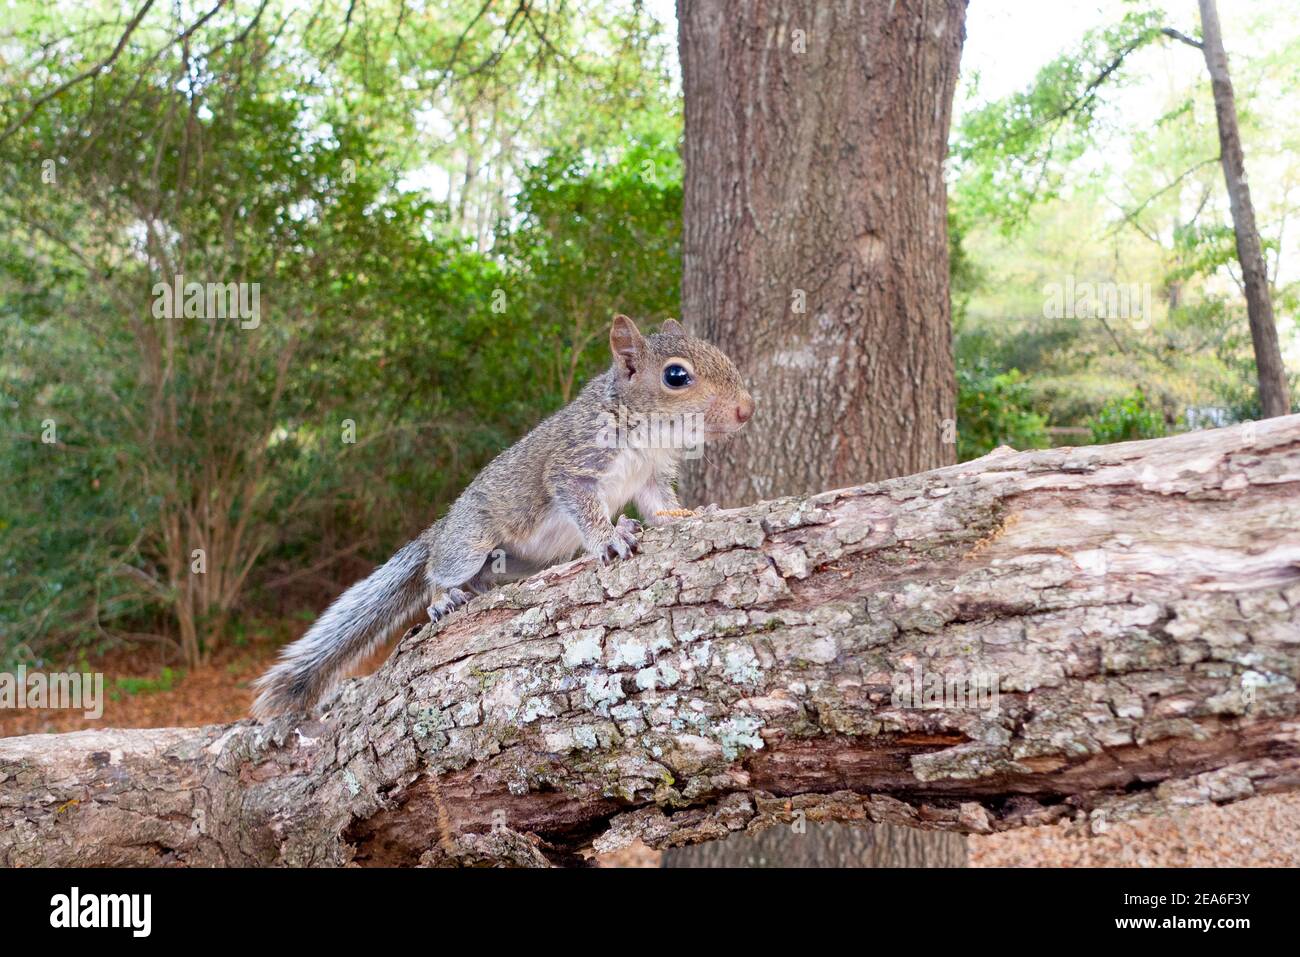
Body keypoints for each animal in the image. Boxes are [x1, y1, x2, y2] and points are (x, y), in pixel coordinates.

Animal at [252, 314, 754, 718]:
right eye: (676, 376)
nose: (746, 411)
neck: (645, 430)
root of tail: (441, 529)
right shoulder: (572, 466)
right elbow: (582, 506)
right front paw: (609, 537)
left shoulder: (649, 478)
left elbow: (659, 506)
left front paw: (687, 515)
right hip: (469, 543)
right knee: (436, 573)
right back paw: (443, 598)